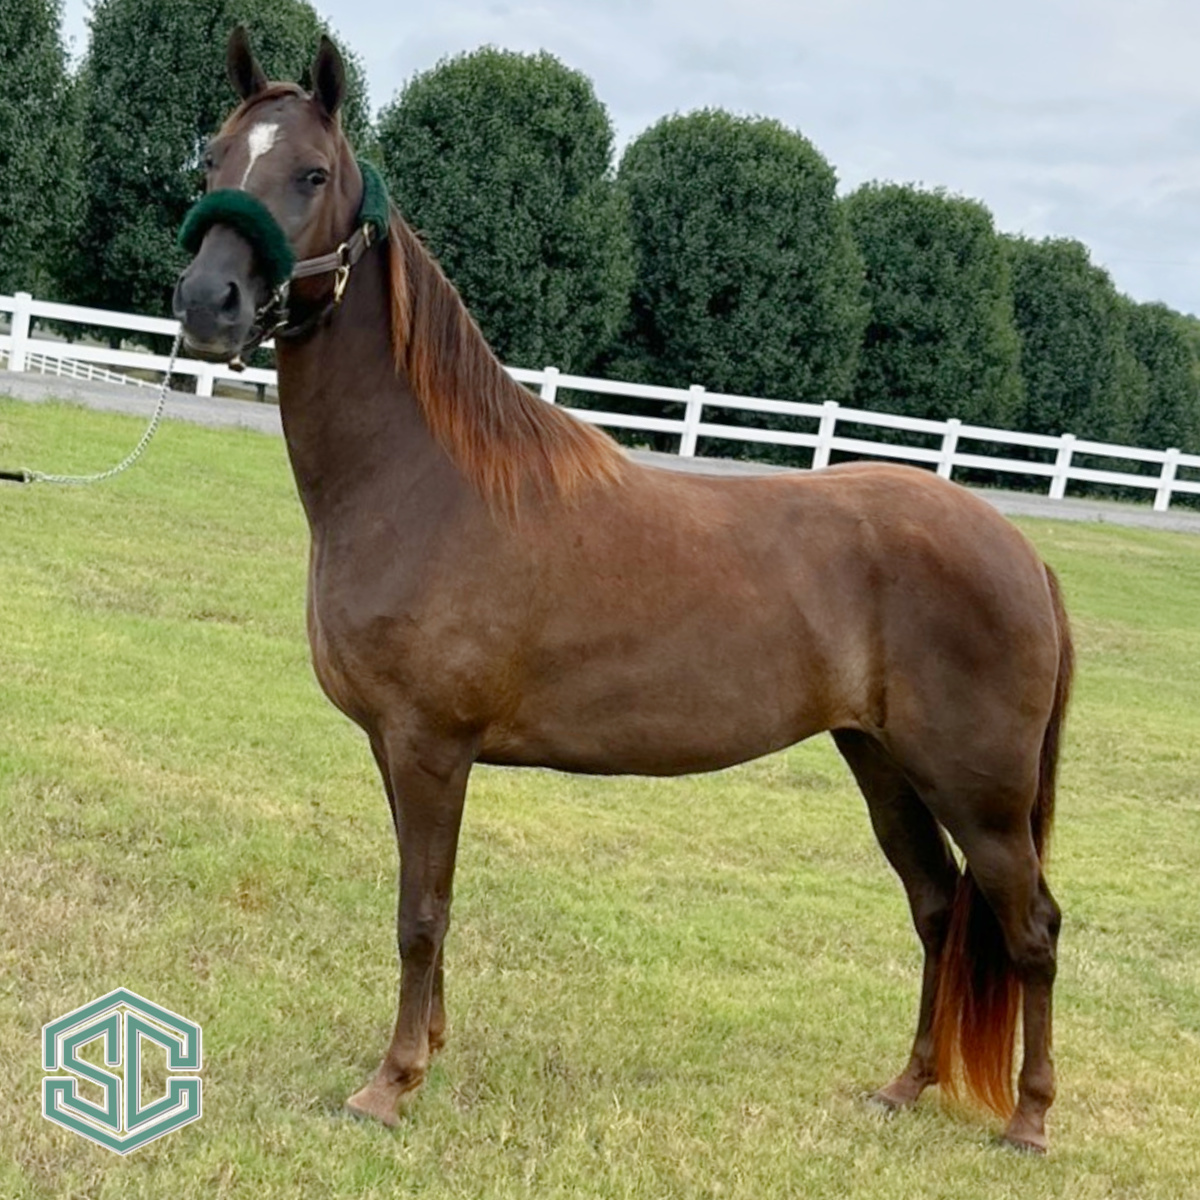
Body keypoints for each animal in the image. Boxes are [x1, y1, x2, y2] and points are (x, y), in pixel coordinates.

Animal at [173, 27, 1073, 1154]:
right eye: (213, 159)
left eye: (311, 175)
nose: (207, 303)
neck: (421, 480)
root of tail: (1023, 553)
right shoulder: (394, 746)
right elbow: (427, 903)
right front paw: (429, 1051)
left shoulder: (430, 745)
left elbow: (420, 911)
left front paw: (390, 1084)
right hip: (884, 764)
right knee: (939, 910)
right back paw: (906, 1086)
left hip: (979, 793)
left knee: (1029, 926)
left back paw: (1028, 1120)